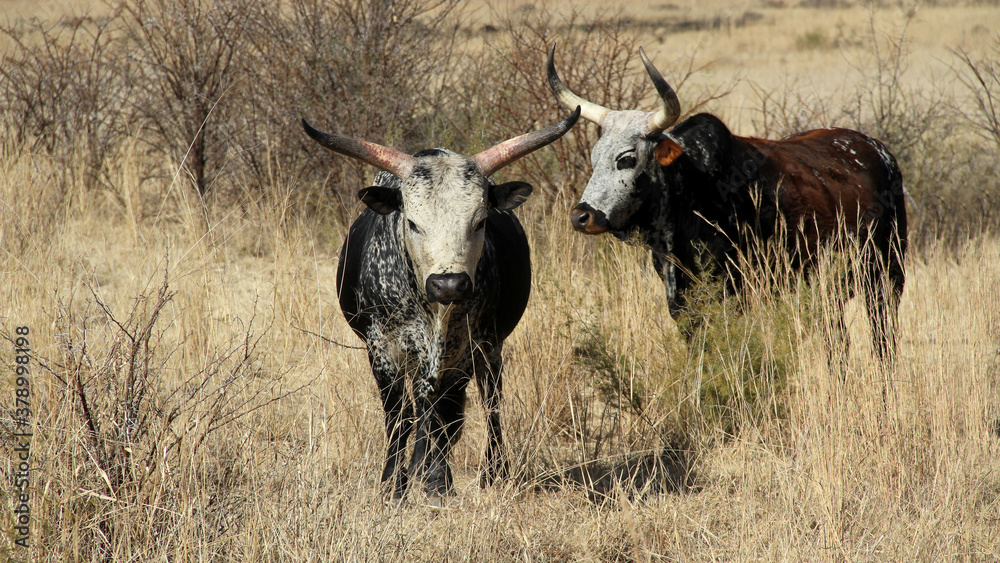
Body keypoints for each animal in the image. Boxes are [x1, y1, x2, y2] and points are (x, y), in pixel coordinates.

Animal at [303, 107, 580, 501]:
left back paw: (490, 470)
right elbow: (399, 416)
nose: (449, 283)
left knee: (486, 403)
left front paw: (435, 482)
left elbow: (443, 414)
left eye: (480, 221)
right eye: (413, 223)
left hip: (490, 348)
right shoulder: (381, 347)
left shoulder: (463, 346)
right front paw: (393, 483)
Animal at [546, 44, 907, 361]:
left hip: (886, 280)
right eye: (594, 157)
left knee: (883, 341)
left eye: (627, 158)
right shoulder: (682, 306)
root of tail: (877, 150)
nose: (581, 216)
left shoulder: (736, 296)